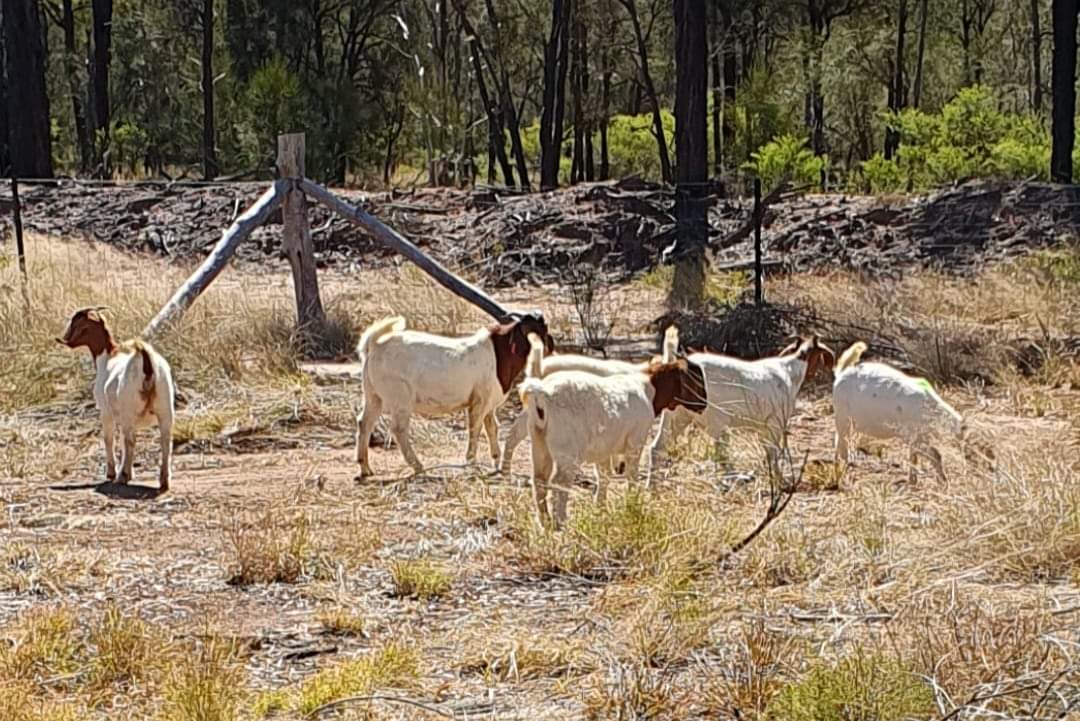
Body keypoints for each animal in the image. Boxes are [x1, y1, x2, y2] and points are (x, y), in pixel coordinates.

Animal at [57, 307, 175, 490]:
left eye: (76, 322)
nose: (64, 339)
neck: (108, 356)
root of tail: (146, 364)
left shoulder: (106, 412)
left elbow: (109, 439)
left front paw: (112, 473)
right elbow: (121, 442)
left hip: (129, 410)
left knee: (131, 440)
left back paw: (122, 477)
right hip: (164, 409)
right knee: (165, 441)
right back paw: (164, 480)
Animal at [355, 312, 554, 477]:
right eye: (540, 326)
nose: (549, 346)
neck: (499, 355)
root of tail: (375, 345)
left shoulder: (489, 404)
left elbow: (492, 428)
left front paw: (496, 462)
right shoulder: (479, 402)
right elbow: (475, 428)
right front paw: (471, 463)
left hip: (373, 396)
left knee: (364, 422)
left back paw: (365, 468)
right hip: (400, 398)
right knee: (398, 429)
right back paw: (418, 466)